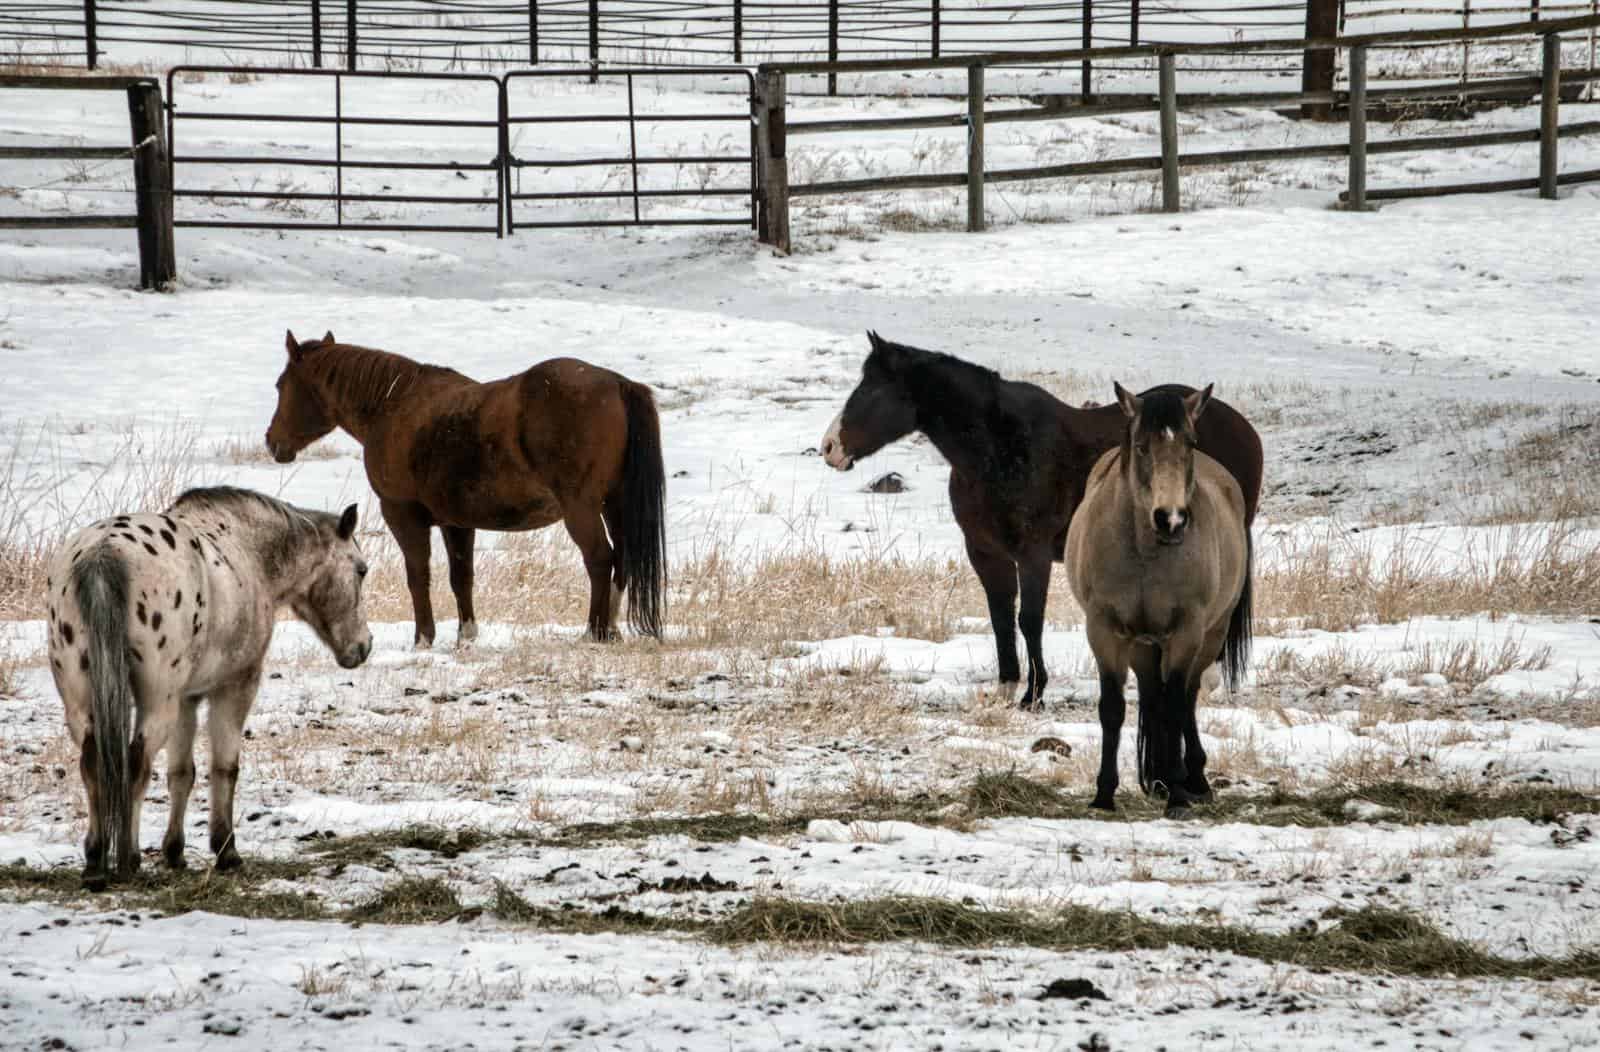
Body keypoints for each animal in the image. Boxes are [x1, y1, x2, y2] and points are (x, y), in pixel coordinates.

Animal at [44, 486, 372, 889]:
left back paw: (95, 862)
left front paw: (175, 852)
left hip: (84, 702)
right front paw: (226, 851)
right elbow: (224, 767)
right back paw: (128, 860)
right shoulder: (234, 687)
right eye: (361, 570)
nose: (363, 646)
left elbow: (181, 774)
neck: (249, 549)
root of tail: (104, 554)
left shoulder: (187, 699)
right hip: (158, 702)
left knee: (92, 764)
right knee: (136, 764)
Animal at [265, 331, 667, 646]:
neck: (393, 405)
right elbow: (462, 578)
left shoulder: (401, 514)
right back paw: (611, 629)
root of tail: (617, 383)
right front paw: (466, 637)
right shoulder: (456, 523)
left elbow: (418, 576)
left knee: (600, 559)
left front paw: (423, 640)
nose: (272, 442)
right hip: (615, 505)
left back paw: (594, 632)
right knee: (622, 560)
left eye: (281, 385)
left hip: (582, 509)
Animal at [819, 332, 1262, 710]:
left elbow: (1028, 620)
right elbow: (1000, 617)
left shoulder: (1033, 555)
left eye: (871, 389)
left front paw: (1034, 694)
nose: (829, 447)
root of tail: (1246, 430)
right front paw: (1006, 687)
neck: (1000, 447)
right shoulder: (986, 553)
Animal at [1066, 384, 1252, 815]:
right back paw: (1159, 778)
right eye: (1140, 446)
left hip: (1209, 635)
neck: (1145, 554)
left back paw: (1191, 778)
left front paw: (1180, 796)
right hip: (1142, 644)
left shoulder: (1186, 633)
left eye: (1190, 443)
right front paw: (1104, 795)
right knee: (1153, 694)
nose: (1172, 519)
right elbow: (1113, 708)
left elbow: (1174, 708)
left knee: (1184, 699)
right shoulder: (1105, 631)